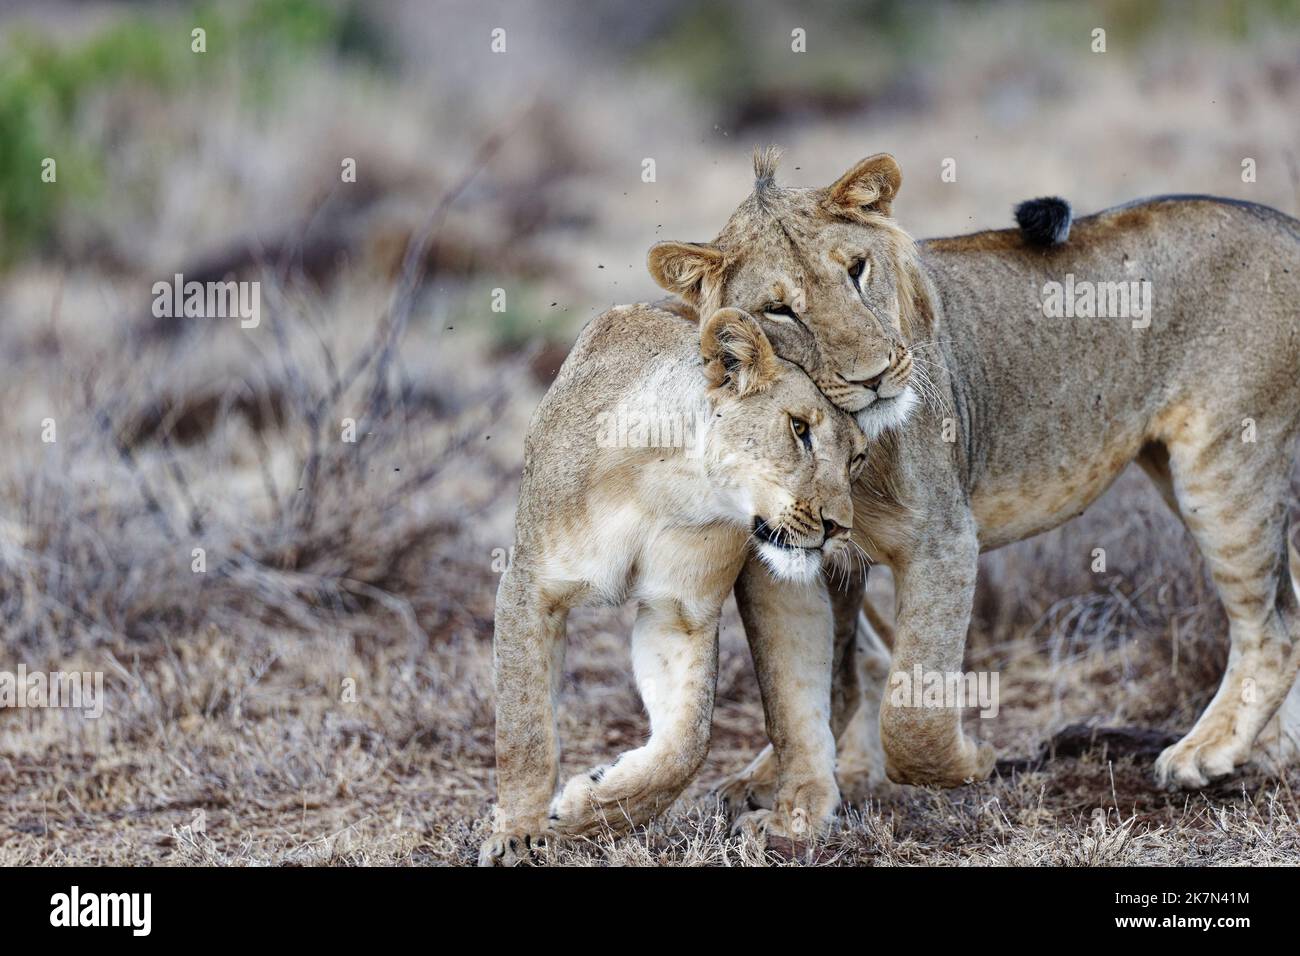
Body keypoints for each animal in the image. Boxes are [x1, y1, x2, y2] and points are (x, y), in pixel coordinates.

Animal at [478, 305, 867, 866]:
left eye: (857, 457)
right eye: (799, 428)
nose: (839, 527)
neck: (668, 485)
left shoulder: (679, 614)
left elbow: (686, 745)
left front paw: (587, 811)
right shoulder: (530, 586)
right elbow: (523, 729)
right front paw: (520, 833)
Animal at [647, 148, 1300, 841]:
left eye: (857, 270)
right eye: (779, 310)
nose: (875, 376)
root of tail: (1286, 225)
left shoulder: (943, 539)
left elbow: (912, 707)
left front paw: (970, 762)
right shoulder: (780, 562)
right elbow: (795, 694)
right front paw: (795, 813)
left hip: (1223, 464)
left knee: (1273, 627)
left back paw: (1210, 752)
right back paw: (1273, 752)